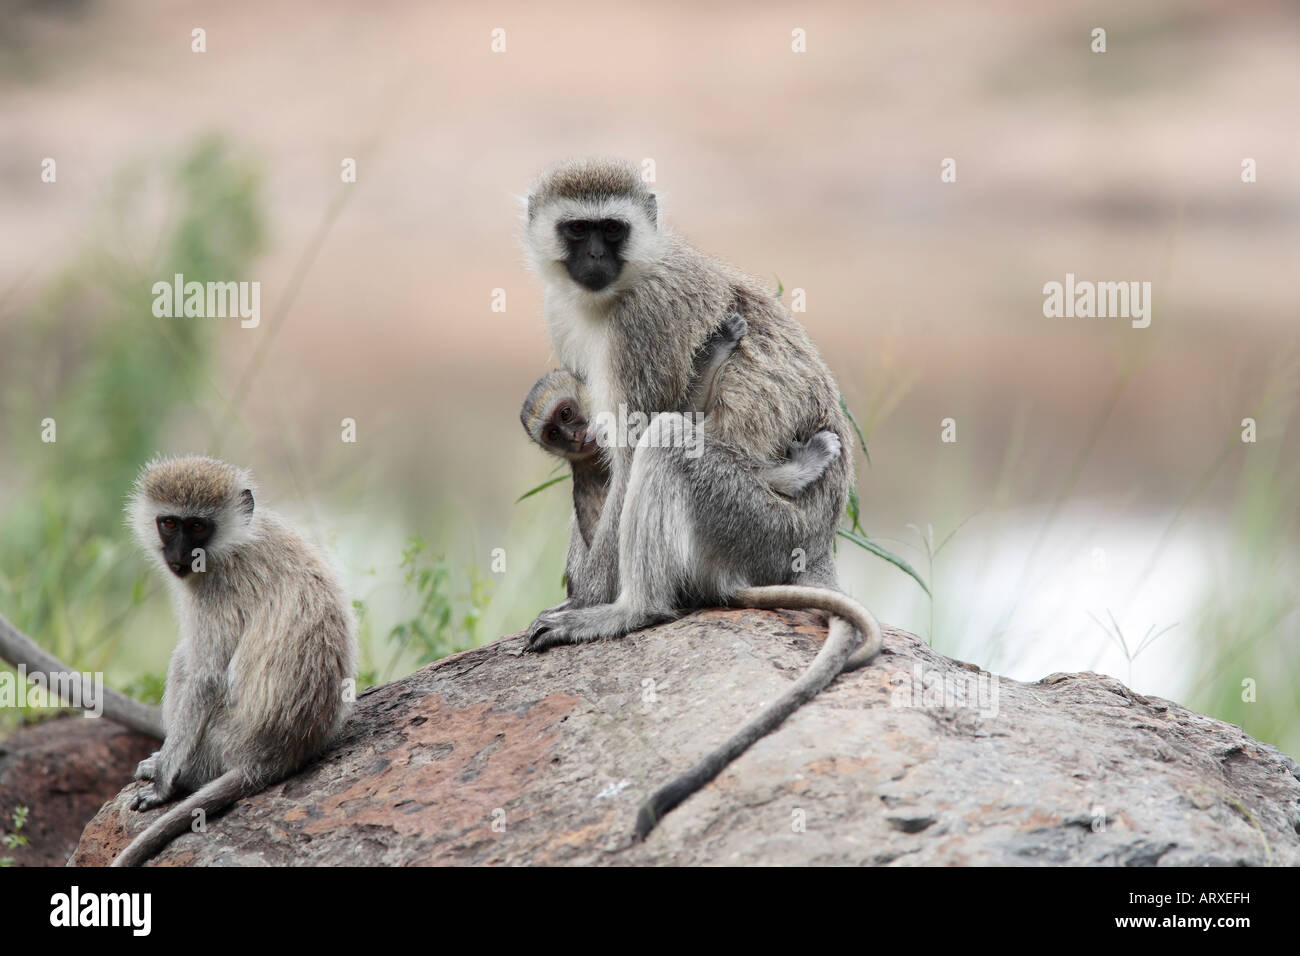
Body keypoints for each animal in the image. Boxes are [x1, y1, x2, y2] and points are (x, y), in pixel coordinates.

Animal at [110, 455, 357, 866]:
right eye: (170, 523)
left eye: (197, 526)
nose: (180, 556)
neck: (233, 542)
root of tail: (274, 757)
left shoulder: (216, 588)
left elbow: (206, 677)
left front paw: (162, 782)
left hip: (220, 741)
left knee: (187, 663)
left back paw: (182, 775)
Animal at [520, 157, 882, 838]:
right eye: (578, 229)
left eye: (611, 229)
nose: (595, 257)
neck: (614, 291)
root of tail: (817, 539)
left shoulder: (644, 326)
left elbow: (635, 445)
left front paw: (586, 601)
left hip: (758, 526)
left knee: (666, 442)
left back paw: (634, 610)